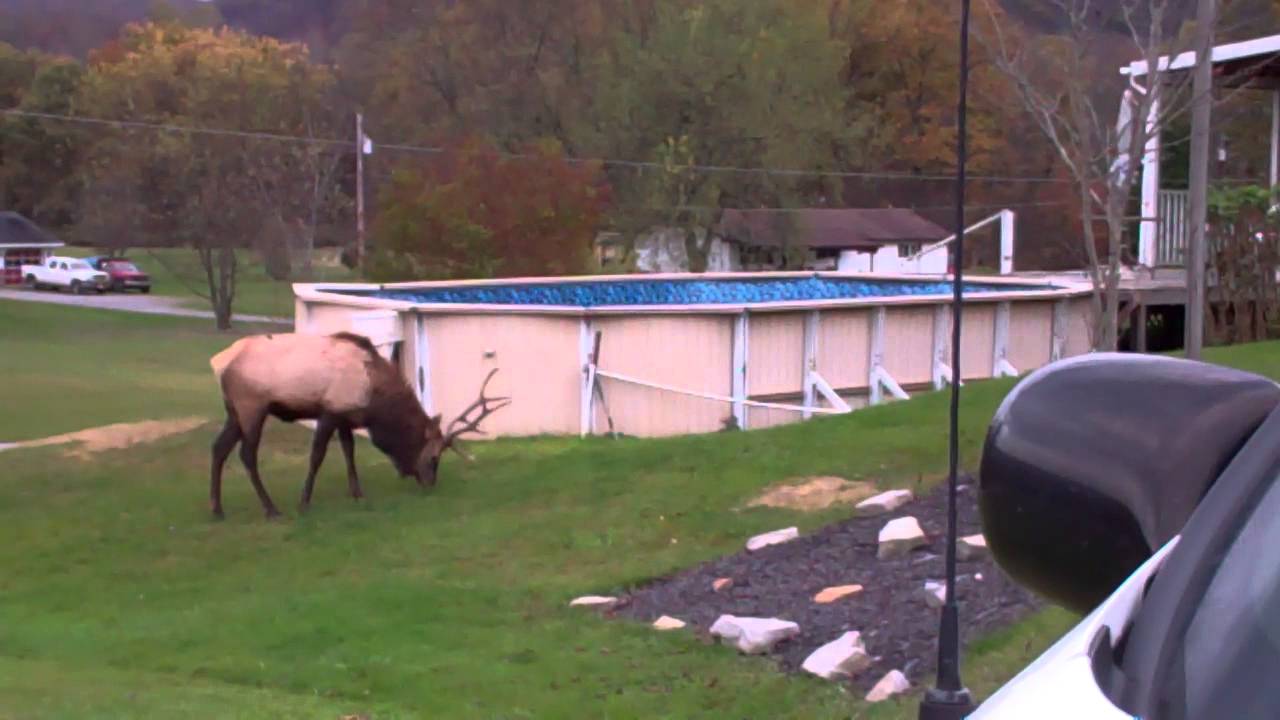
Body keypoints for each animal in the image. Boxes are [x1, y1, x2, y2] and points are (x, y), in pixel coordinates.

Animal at [208, 331, 509, 518]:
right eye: (434, 457)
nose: (429, 484)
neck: (374, 398)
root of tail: (219, 362)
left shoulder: (345, 416)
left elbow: (349, 451)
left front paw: (358, 493)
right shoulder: (330, 410)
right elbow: (317, 456)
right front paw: (304, 502)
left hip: (233, 410)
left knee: (218, 447)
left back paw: (217, 509)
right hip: (252, 406)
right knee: (246, 454)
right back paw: (271, 509)